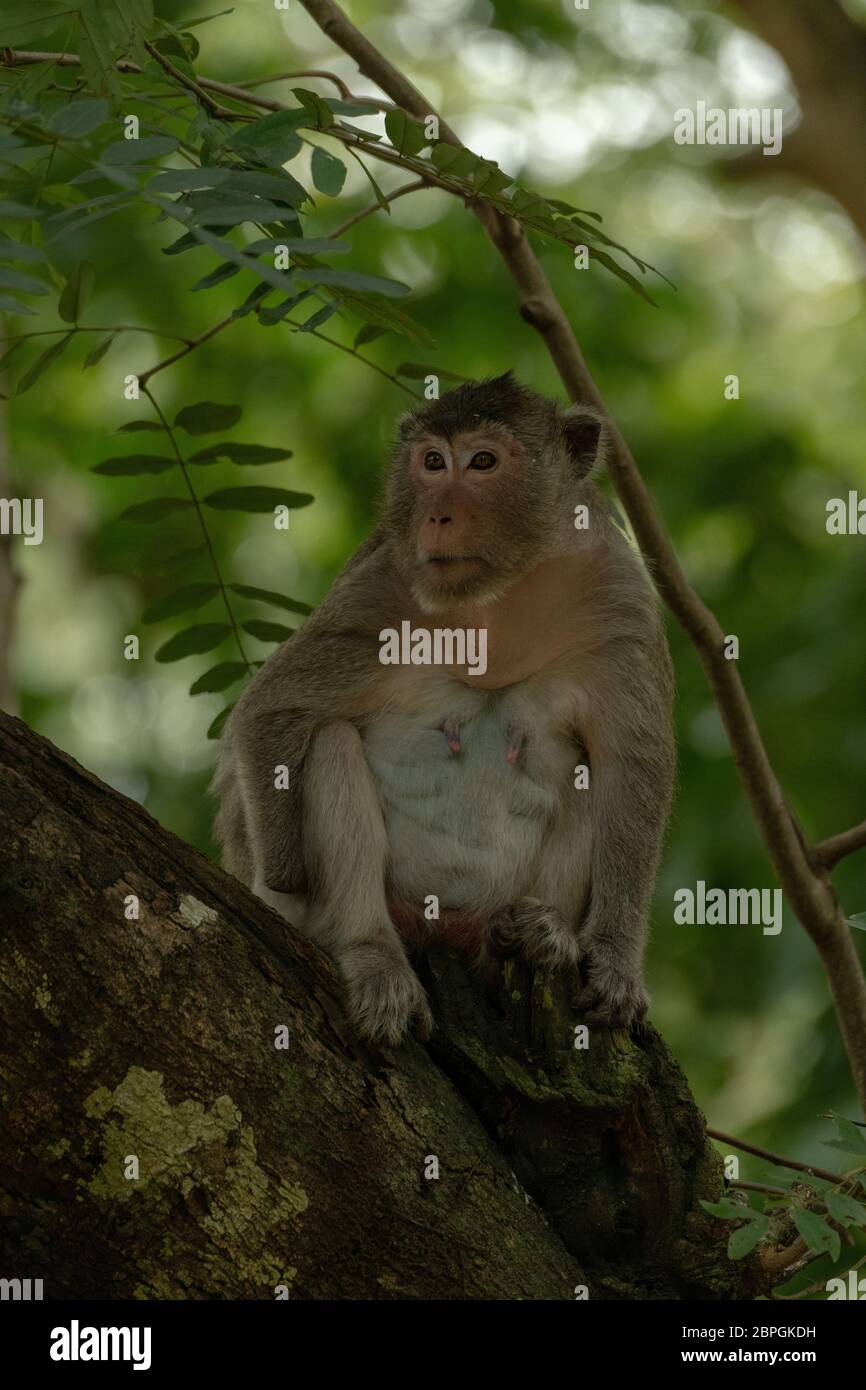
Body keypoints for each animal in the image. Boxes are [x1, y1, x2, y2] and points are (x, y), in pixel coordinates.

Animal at [213, 373, 675, 1046]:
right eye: (432, 463)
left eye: (482, 462)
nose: (437, 515)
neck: (498, 597)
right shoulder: (379, 589)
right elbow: (272, 712)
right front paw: (285, 876)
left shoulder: (620, 595)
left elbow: (633, 767)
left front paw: (614, 959)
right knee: (331, 744)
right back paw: (371, 955)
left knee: (595, 774)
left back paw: (543, 934)